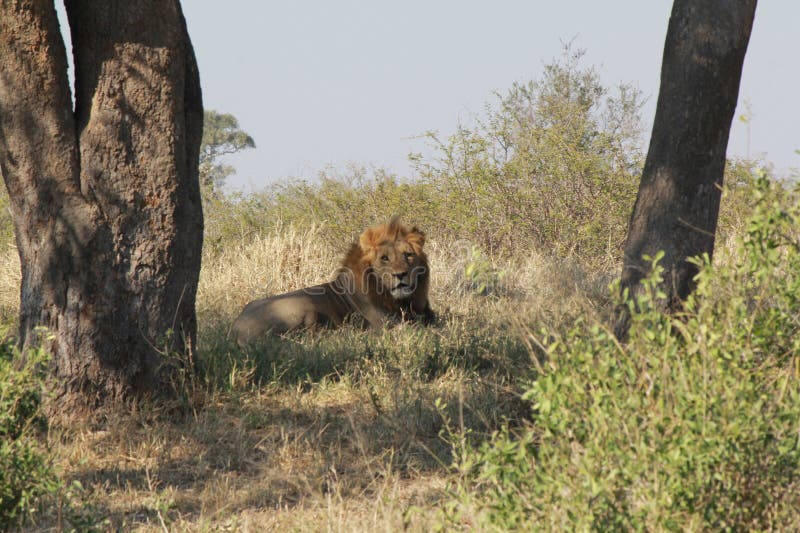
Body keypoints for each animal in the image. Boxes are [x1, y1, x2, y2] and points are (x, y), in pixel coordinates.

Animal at [230, 217, 435, 345]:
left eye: (408, 255)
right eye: (384, 258)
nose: (400, 275)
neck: (402, 301)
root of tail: (236, 327)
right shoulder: (386, 325)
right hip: (303, 305)